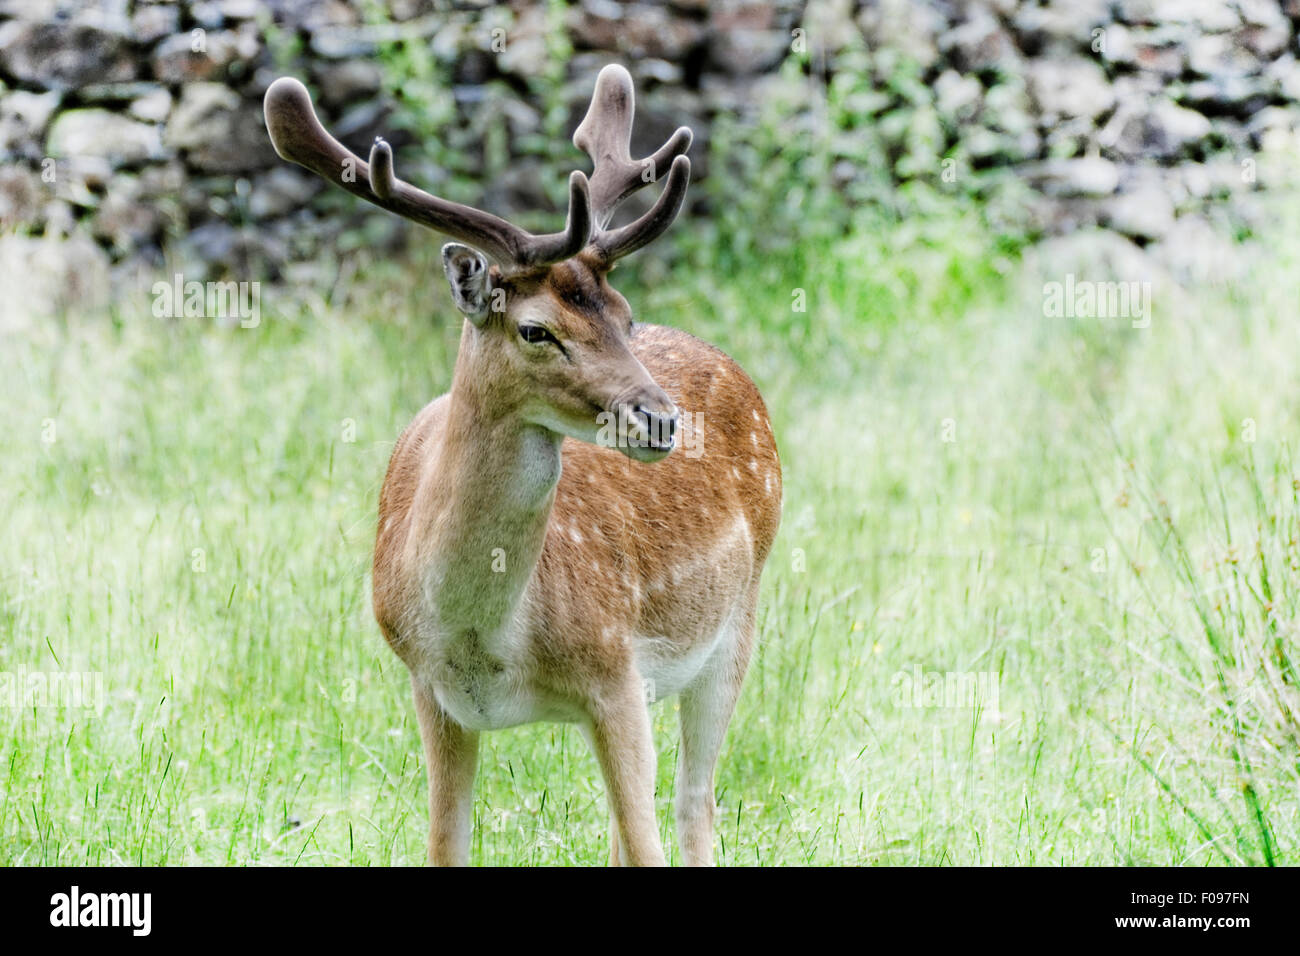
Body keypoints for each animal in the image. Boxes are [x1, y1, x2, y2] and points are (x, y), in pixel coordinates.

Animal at [264, 64, 781, 866]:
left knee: (693, 807)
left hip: (737, 621)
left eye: (625, 316)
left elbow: (650, 843)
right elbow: (446, 845)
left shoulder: (613, 669)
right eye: (536, 330)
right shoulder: (431, 691)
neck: (485, 639)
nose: (661, 418)